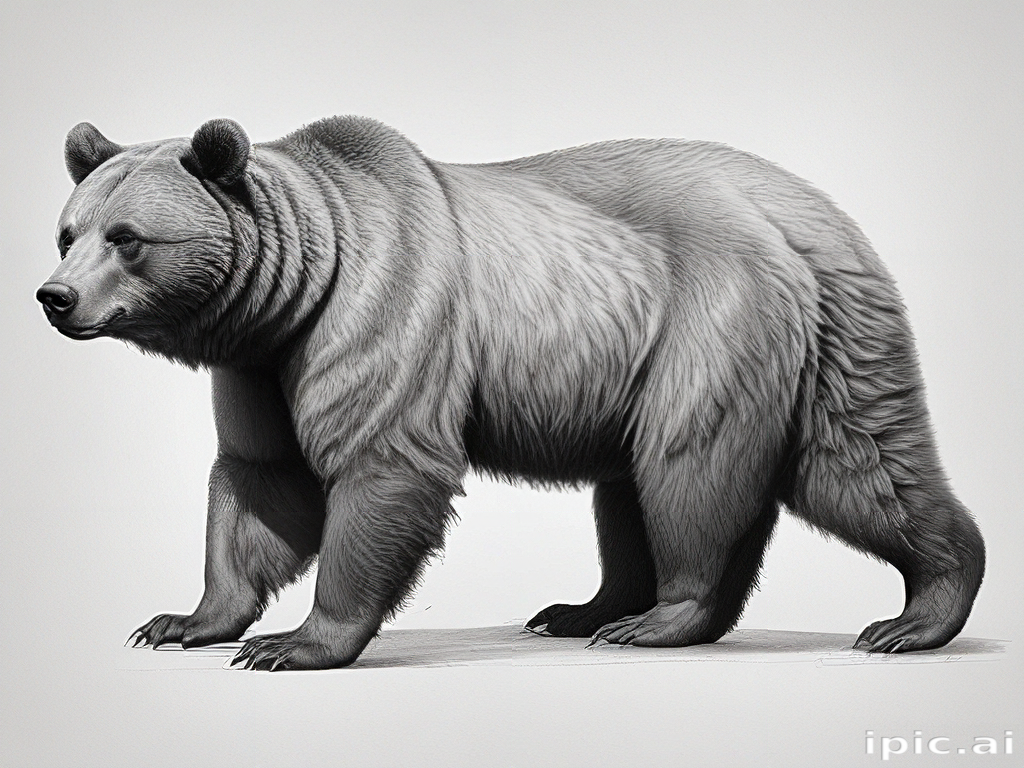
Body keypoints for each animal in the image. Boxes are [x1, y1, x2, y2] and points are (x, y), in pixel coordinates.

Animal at [37, 116, 985, 670]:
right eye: (67, 231)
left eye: (128, 238)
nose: (54, 297)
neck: (300, 282)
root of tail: (817, 217)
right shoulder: (264, 365)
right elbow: (260, 480)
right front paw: (186, 619)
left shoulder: (382, 316)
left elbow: (379, 466)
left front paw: (296, 642)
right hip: (827, 348)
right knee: (858, 460)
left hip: (716, 324)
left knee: (693, 474)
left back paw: (669, 619)